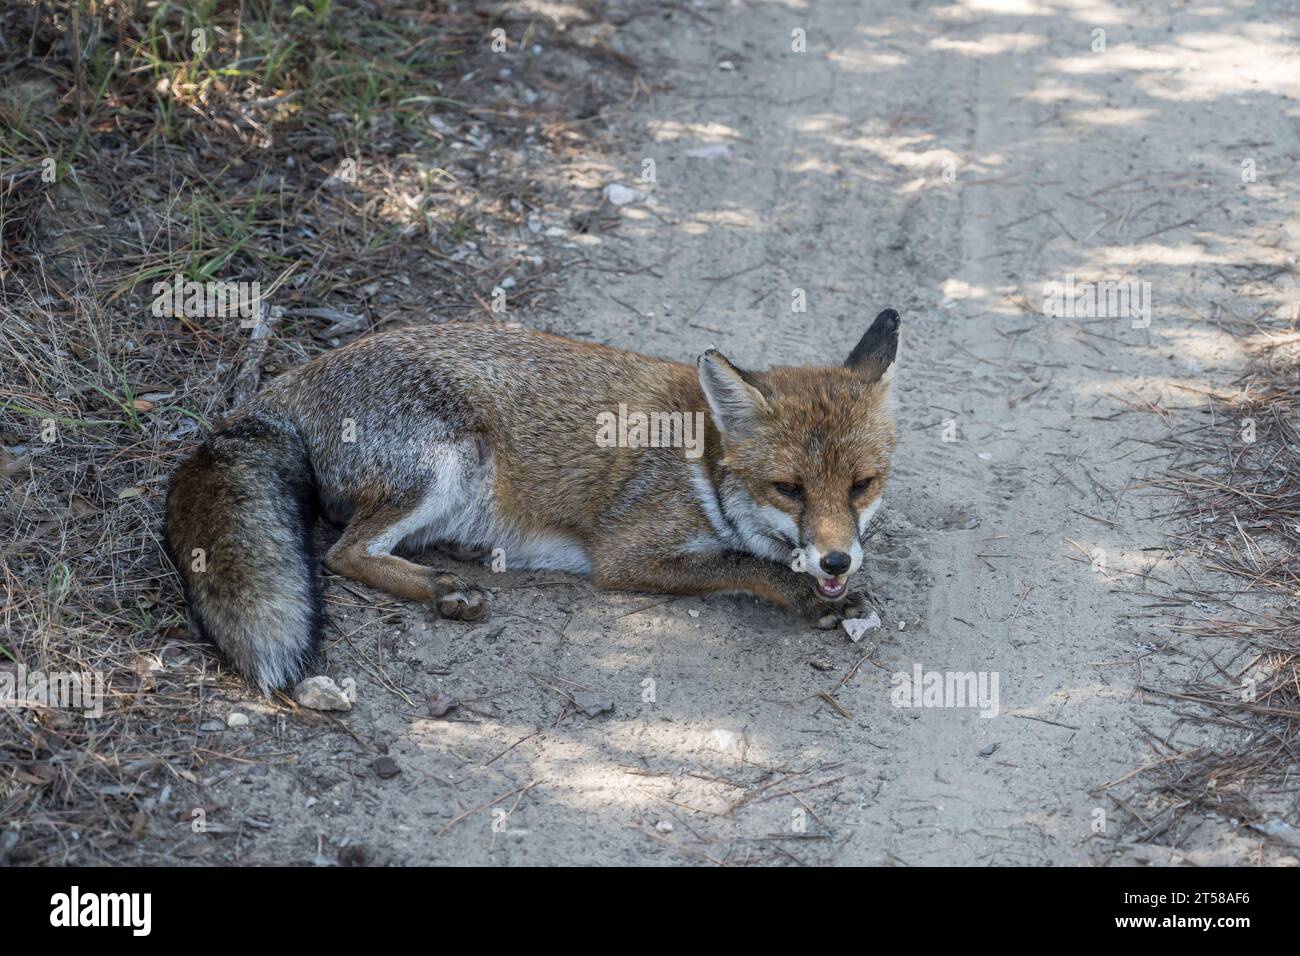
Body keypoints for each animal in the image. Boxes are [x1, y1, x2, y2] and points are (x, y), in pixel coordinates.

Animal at [164, 310, 900, 693]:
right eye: (789, 489)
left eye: (861, 485)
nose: (836, 562)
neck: (704, 461)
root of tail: (287, 384)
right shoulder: (625, 555)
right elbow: (746, 566)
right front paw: (802, 593)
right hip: (449, 464)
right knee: (345, 553)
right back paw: (443, 588)